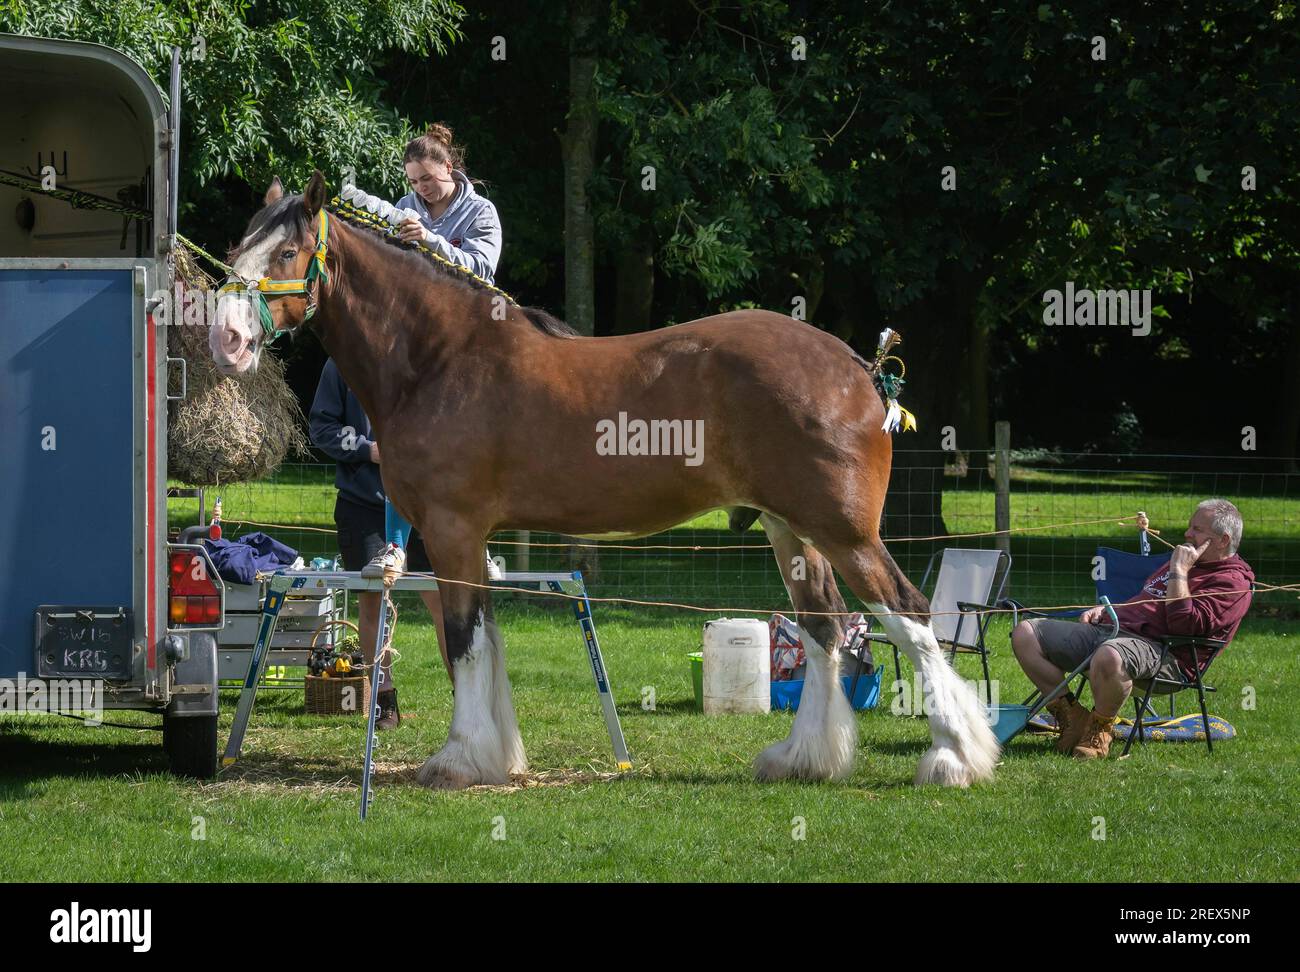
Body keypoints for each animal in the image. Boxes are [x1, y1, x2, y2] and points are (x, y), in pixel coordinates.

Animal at [209, 170, 1000, 790]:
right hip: (791, 530)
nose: (228, 339)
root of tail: (861, 368)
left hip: (844, 531)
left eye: (287, 251)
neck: (440, 358)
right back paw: (804, 758)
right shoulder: (460, 539)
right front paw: (499, 756)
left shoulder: (453, 530)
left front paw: (460, 759)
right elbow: (482, 638)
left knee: (909, 615)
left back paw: (955, 758)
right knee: (826, 628)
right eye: (234, 250)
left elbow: (463, 640)